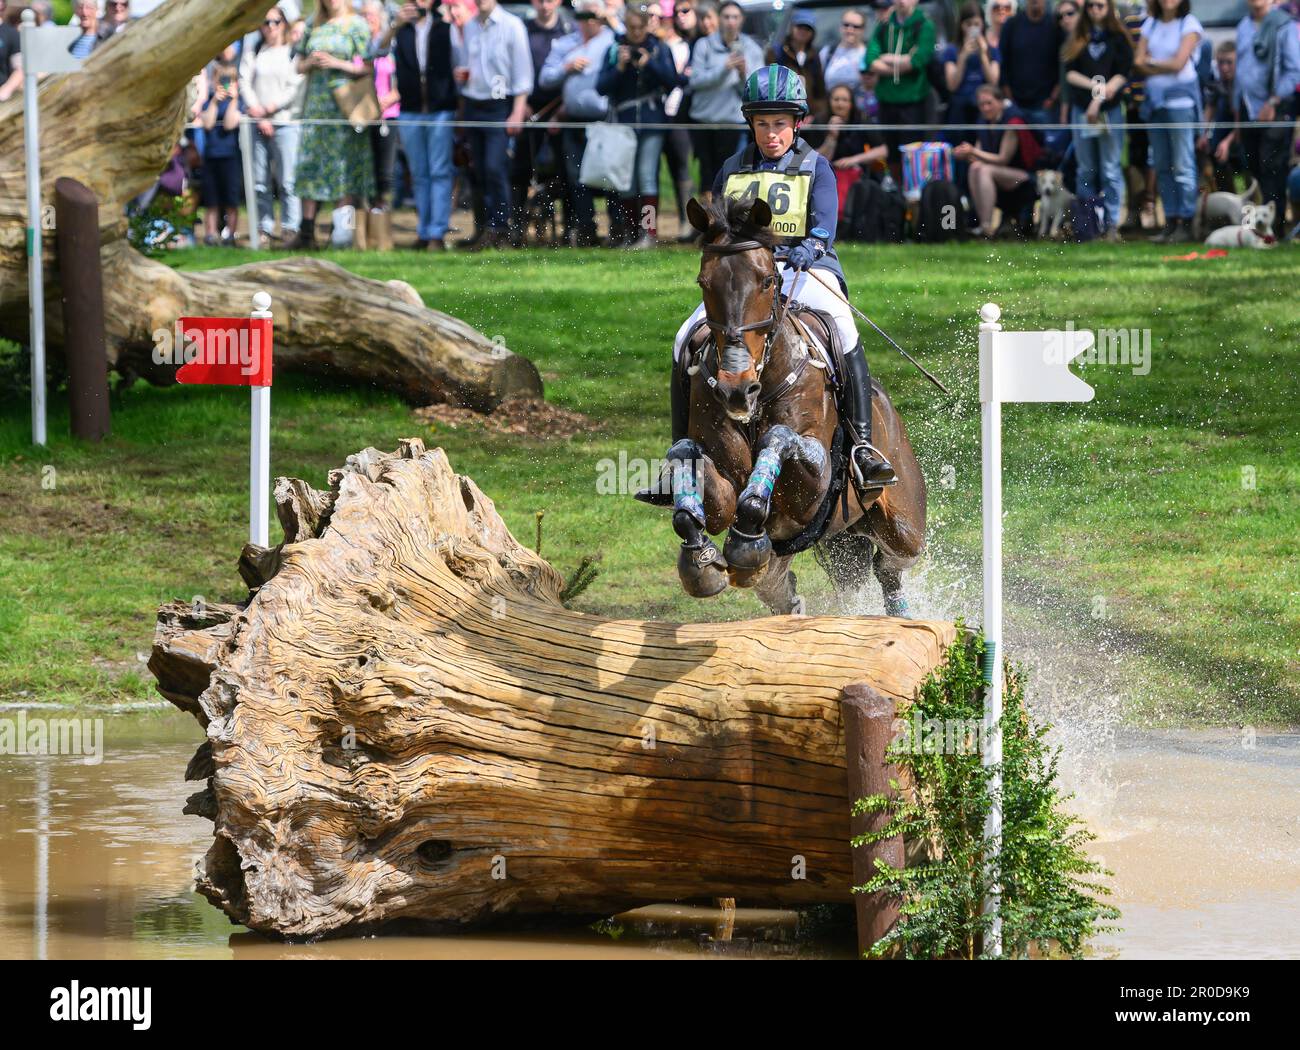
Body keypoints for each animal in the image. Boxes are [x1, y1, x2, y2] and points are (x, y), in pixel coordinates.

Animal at [650, 193, 927, 617]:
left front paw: (744, 529)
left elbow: (779, 438)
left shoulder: (810, 490)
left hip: (903, 524)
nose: (736, 390)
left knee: (890, 567)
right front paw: (700, 555)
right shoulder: (723, 487)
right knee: (781, 588)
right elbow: (689, 457)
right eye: (703, 282)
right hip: (796, 553)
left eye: (766, 280)